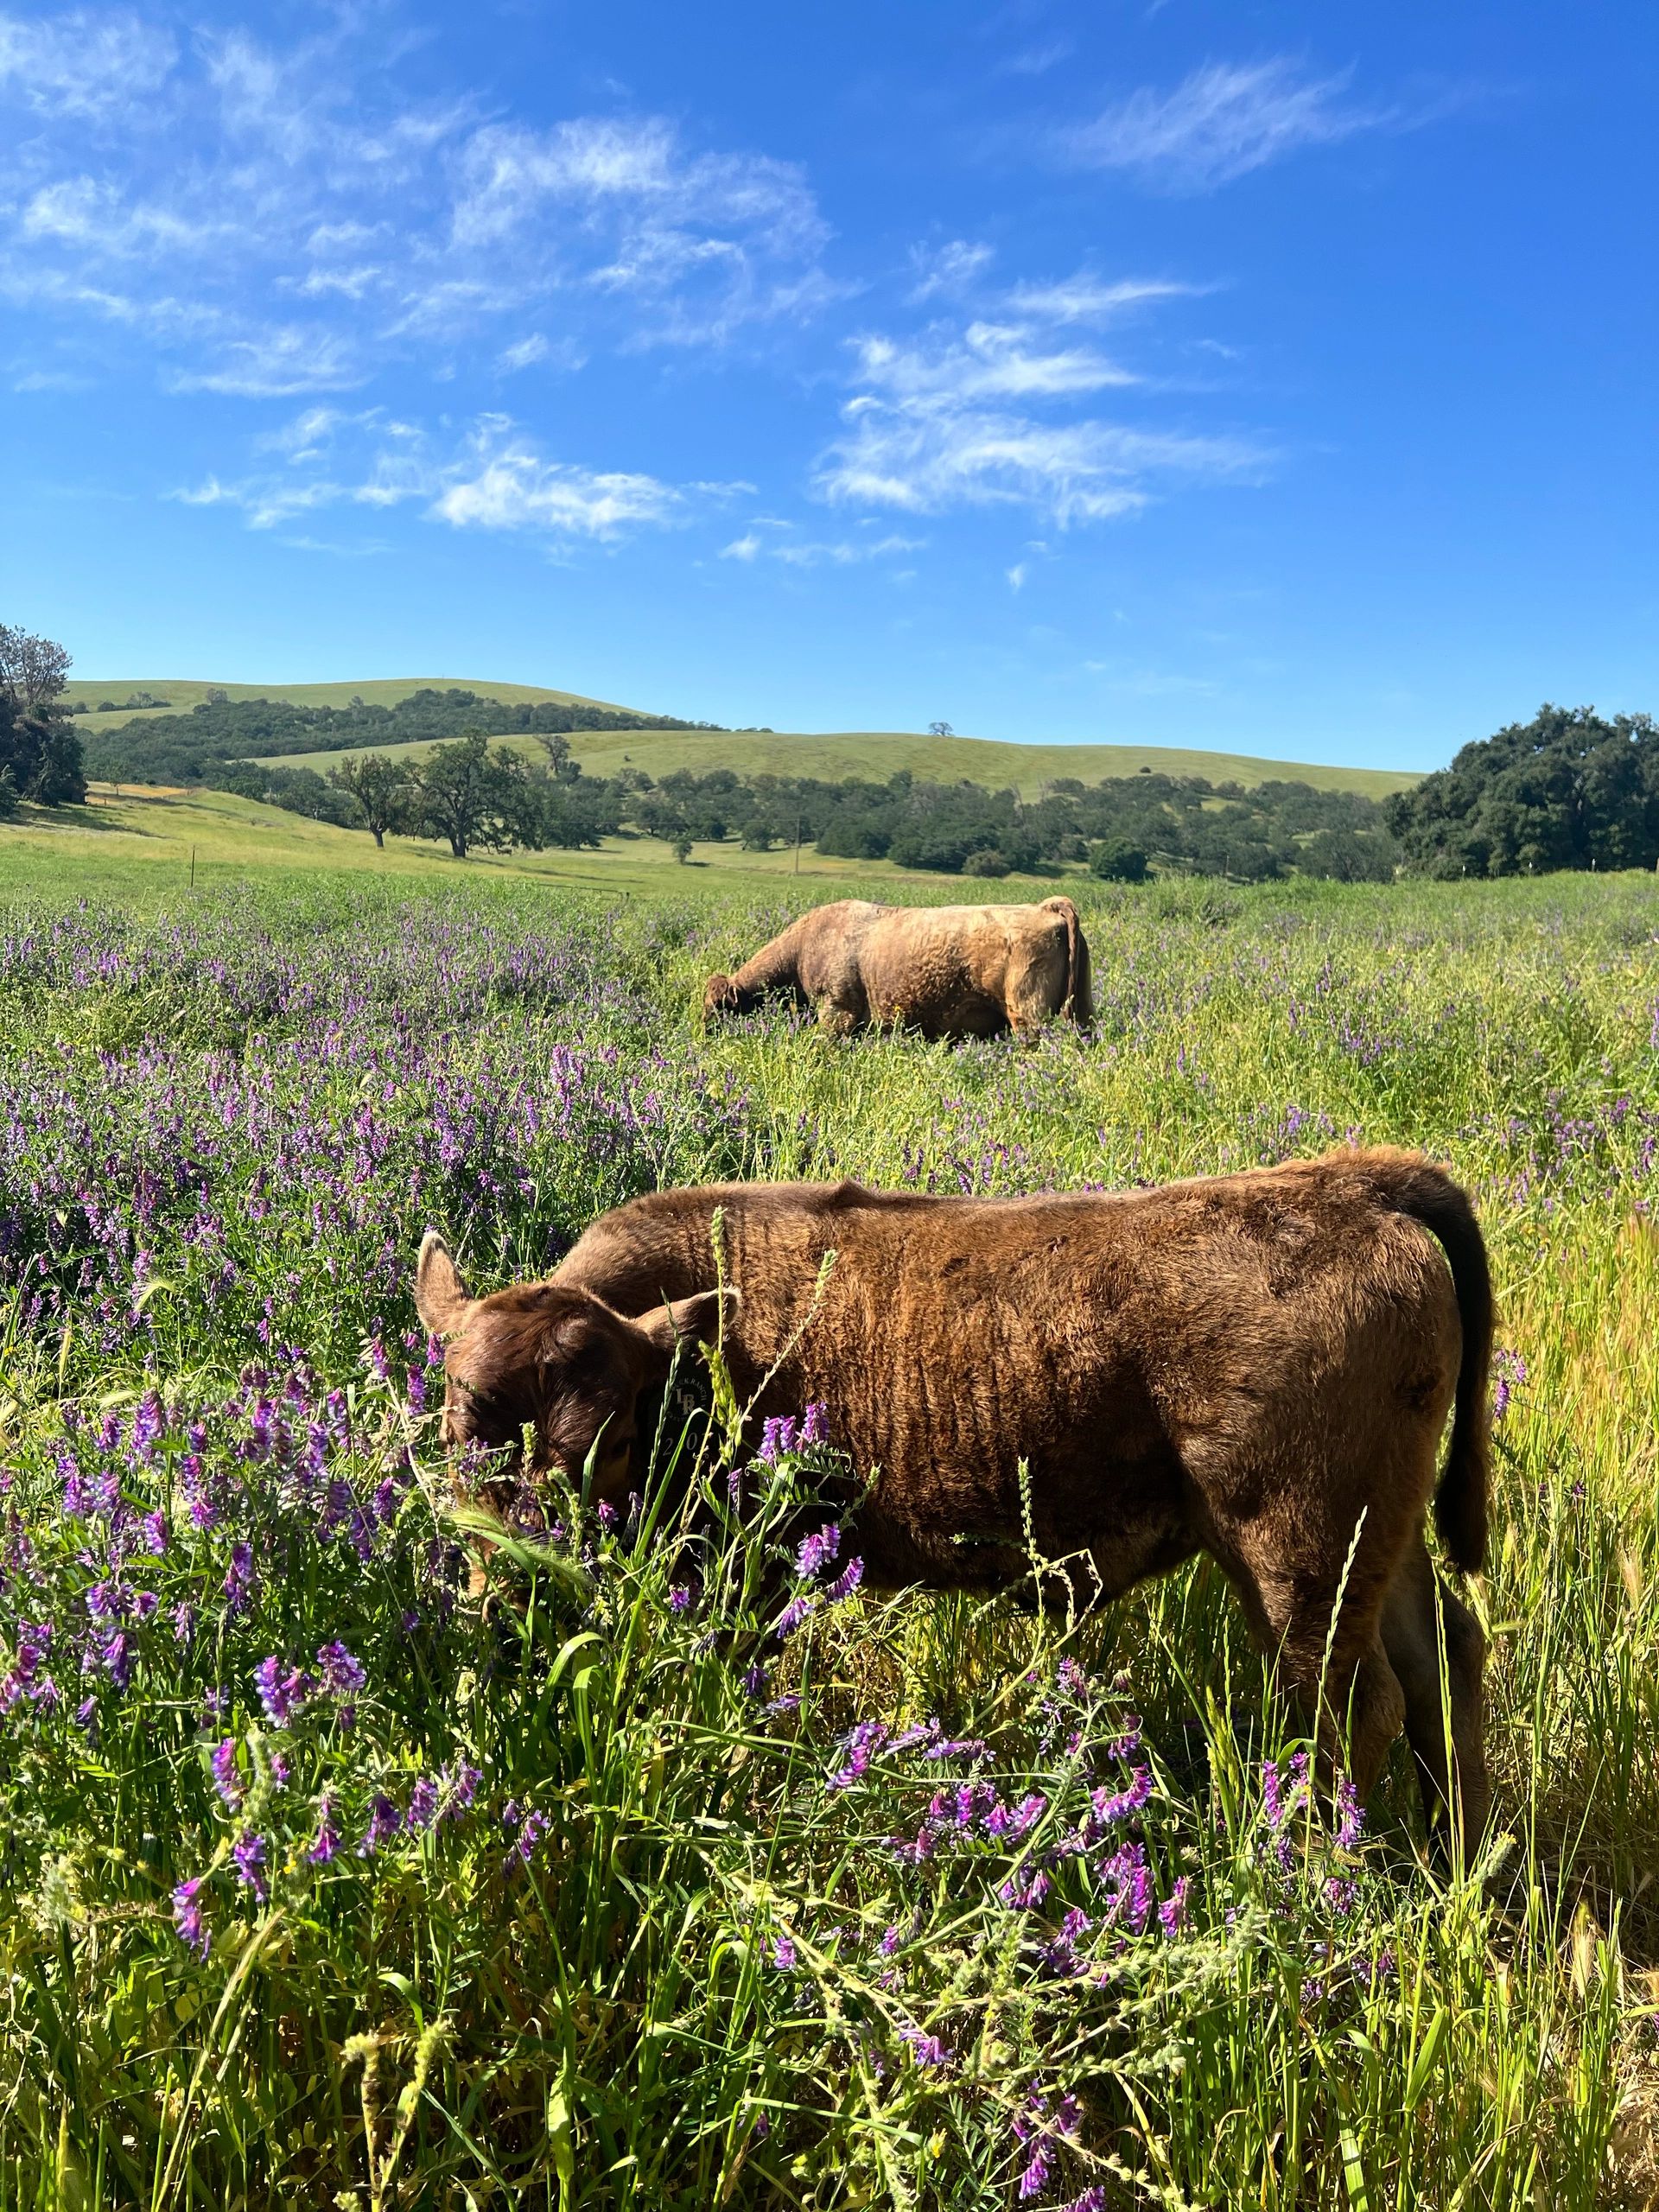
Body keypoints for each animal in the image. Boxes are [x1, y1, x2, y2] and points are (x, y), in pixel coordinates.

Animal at [414, 1146, 1493, 1854]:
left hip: (1297, 1557)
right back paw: (1464, 1869)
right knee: (1442, 1664)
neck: (689, 1351)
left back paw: (1310, 1878)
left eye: (610, 1444)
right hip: (1382, 1541)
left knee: (1350, 1706)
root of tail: (1351, 1187)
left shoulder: (744, 1583)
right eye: (456, 1425)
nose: (519, 1581)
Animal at [700, 896, 1092, 1041]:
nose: (700, 1035)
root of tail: (1044, 907)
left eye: (715, 1009)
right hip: (1081, 1010)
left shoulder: (837, 1011)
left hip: (1028, 1014)